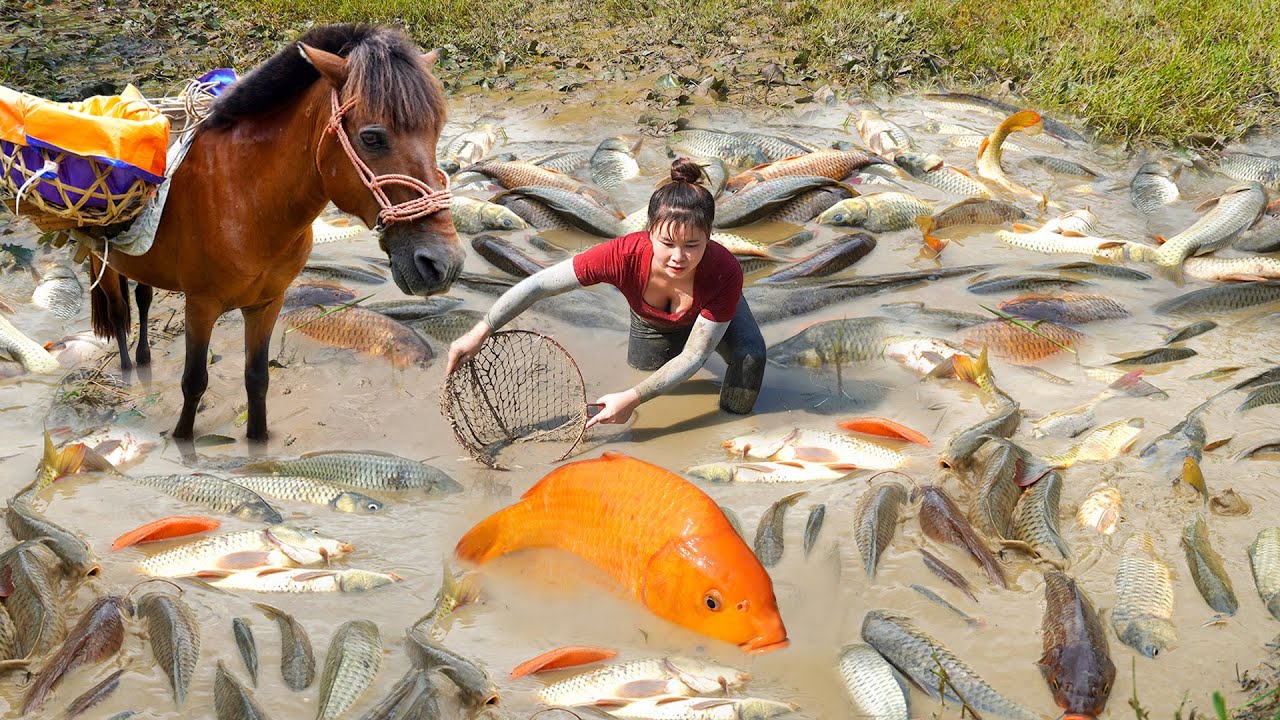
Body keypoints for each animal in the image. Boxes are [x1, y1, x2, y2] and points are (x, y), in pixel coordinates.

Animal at [88, 24, 464, 443]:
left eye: (436, 132)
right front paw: (182, 439)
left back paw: (144, 359)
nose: (443, 264)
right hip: (99, 259)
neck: (243, 196)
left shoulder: (267, 303)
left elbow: (257, 379)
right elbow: (194, 381)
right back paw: (127, 371)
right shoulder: (200, 305)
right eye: (372, 137)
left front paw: (258, 442)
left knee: (143, 297)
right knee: (119, 313)